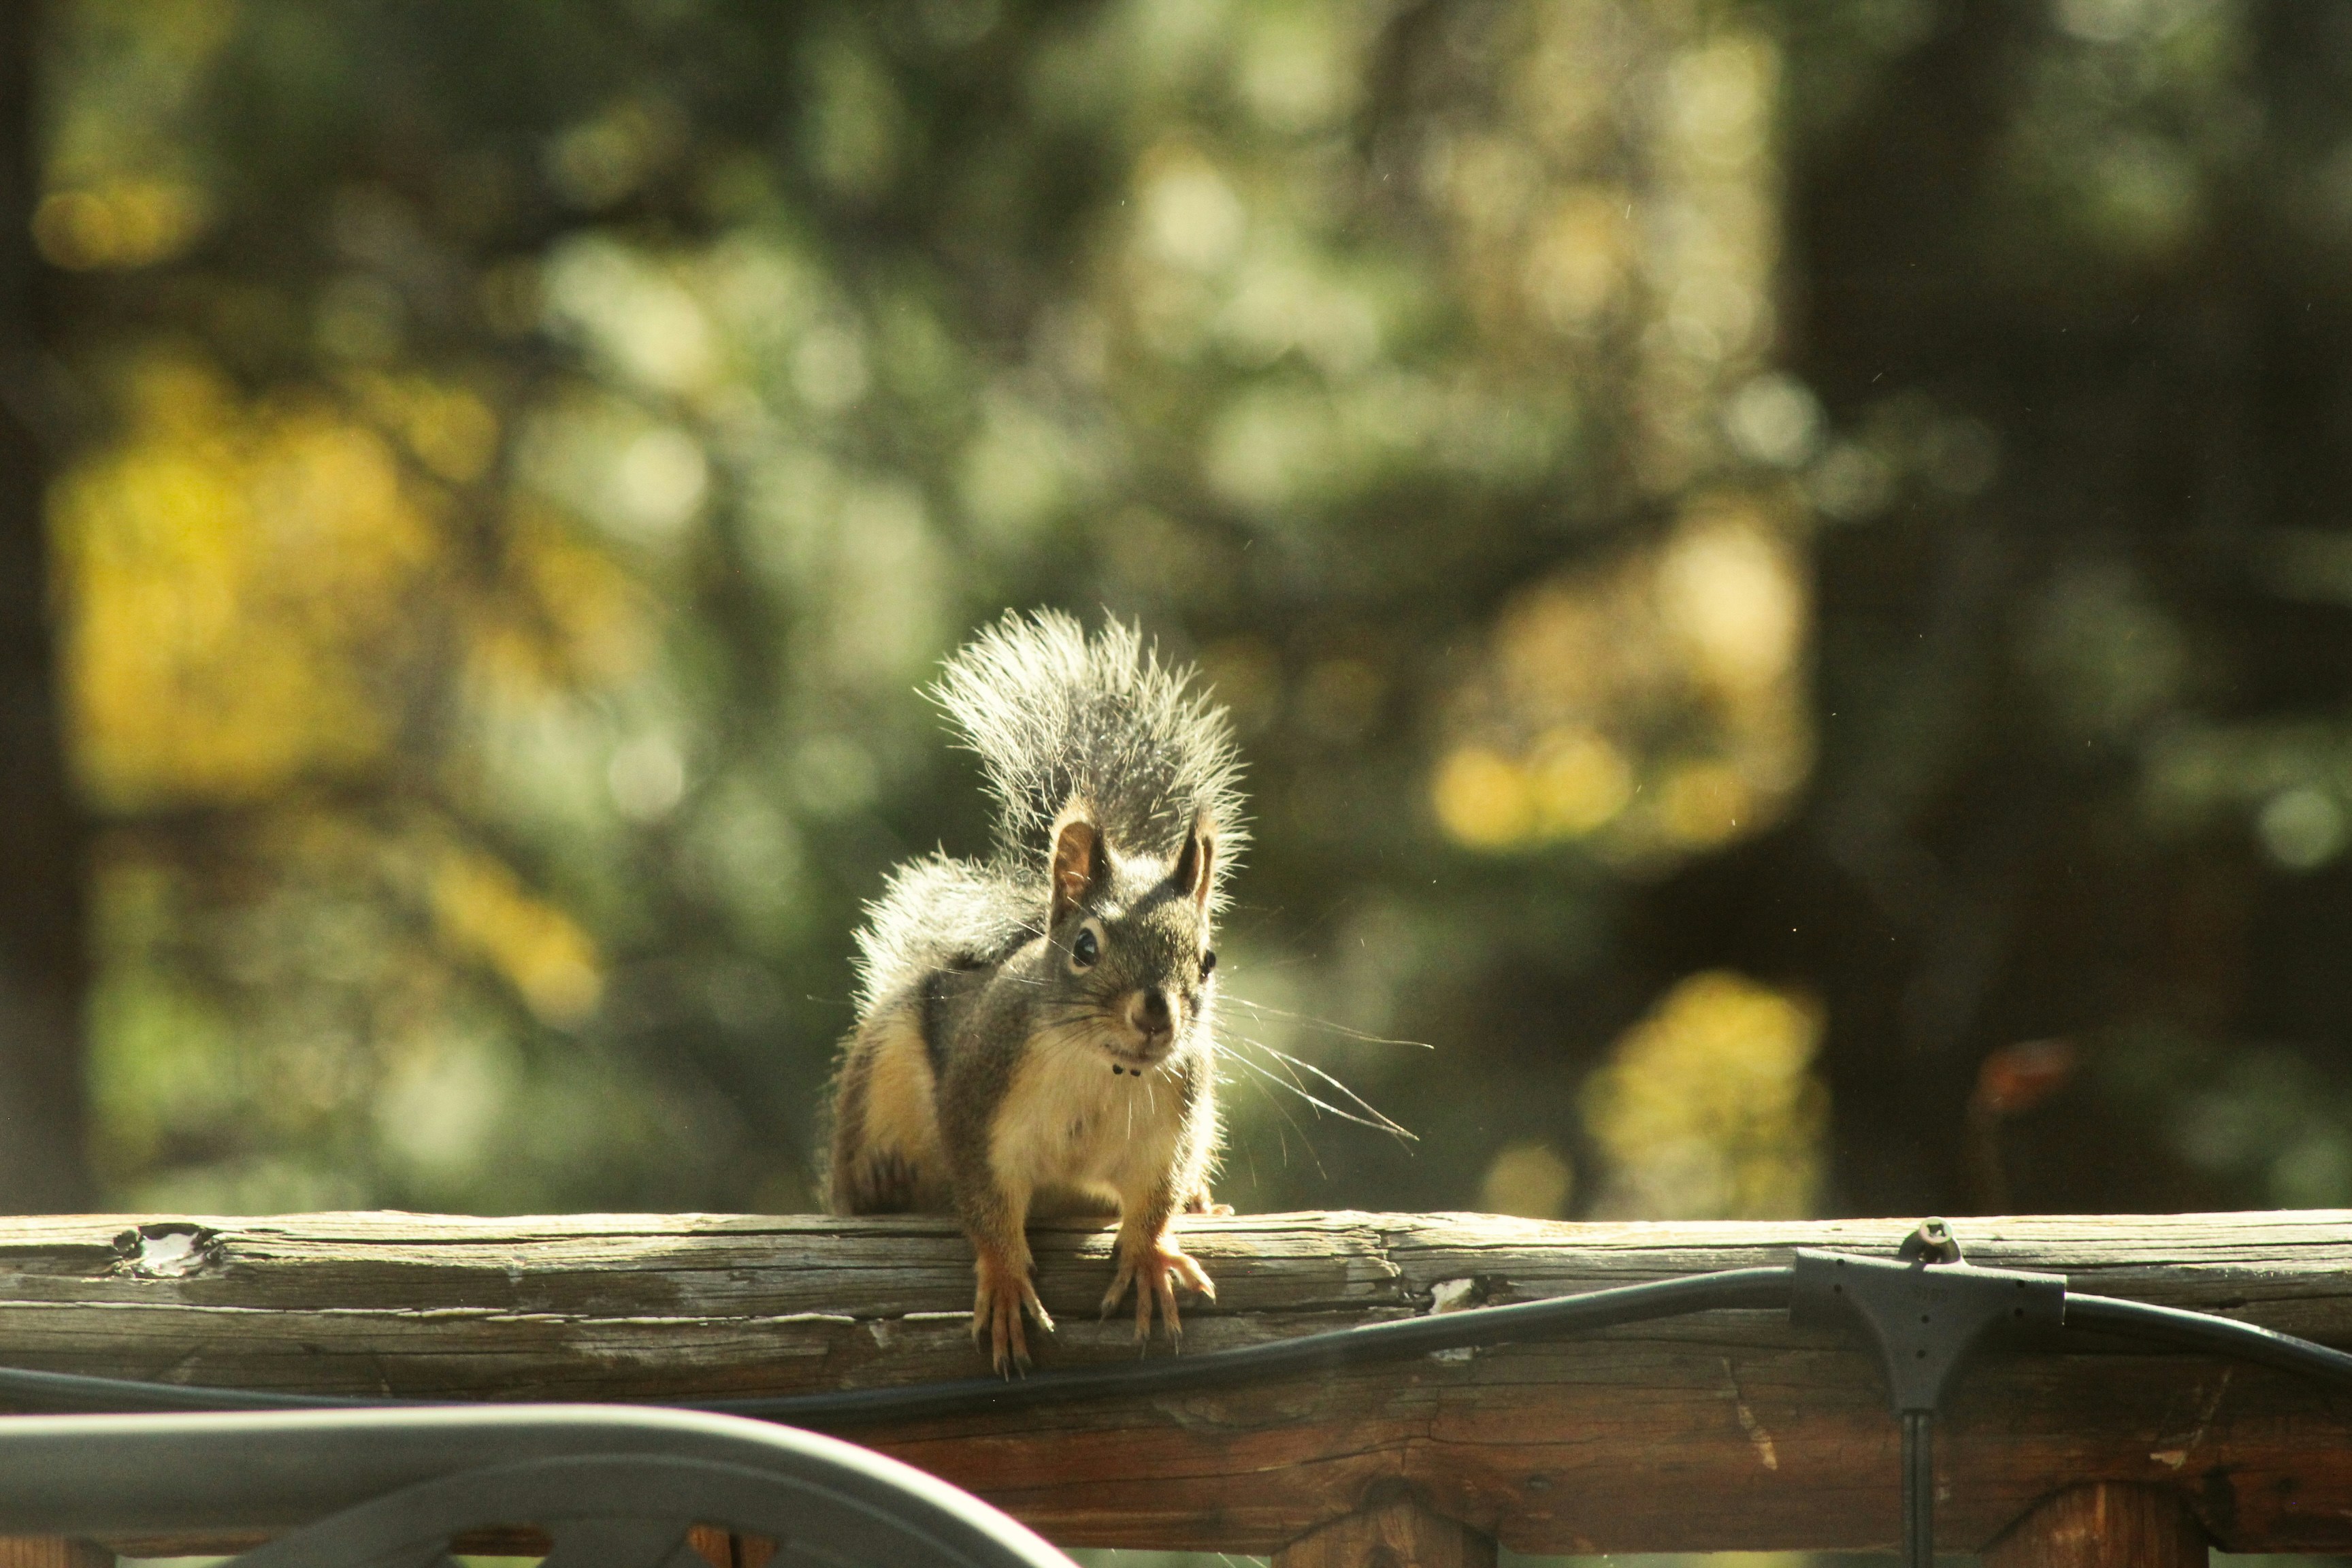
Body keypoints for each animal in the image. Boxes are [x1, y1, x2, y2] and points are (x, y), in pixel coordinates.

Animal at [825, 609, 1245, 1373]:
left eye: (1207, 959)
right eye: (1085, 948)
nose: (1155, 1016)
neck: (1102, 1066)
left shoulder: (1173, 1121)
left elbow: (1155, 1195)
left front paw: (1149, 1255)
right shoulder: (980, 1096)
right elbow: (987, 1203)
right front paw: (1003, 1280)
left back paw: (1203, 1201)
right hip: (884, 1070)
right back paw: (882, 1183)